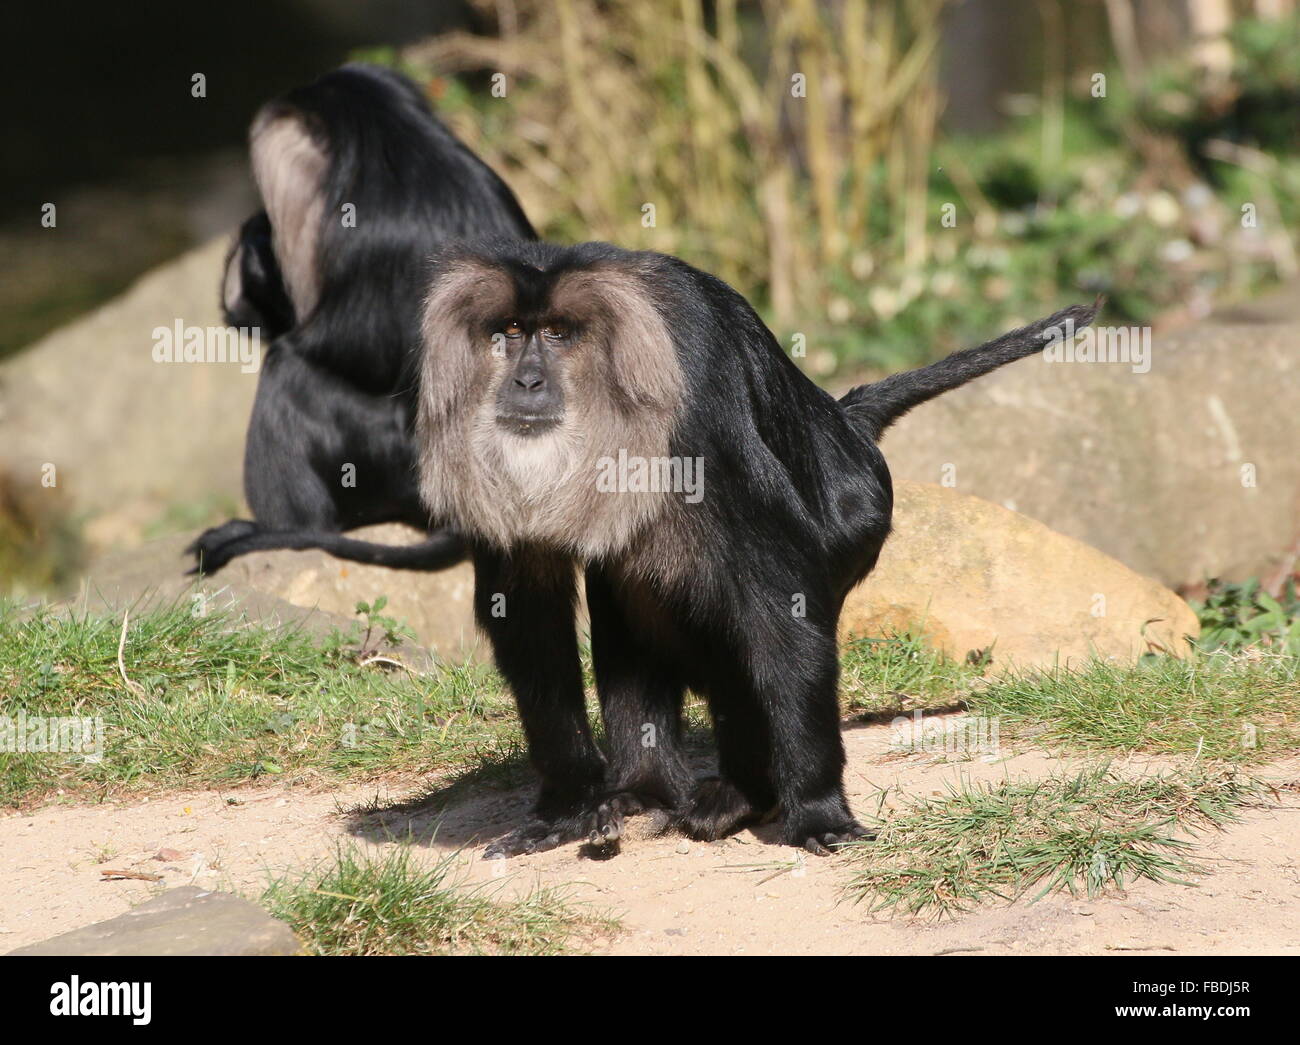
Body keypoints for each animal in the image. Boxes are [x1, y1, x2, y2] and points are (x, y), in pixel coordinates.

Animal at [415, 238, 1099, 858]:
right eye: (510, 331)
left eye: (557, 334)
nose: (526, 381)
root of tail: (841, 424)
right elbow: (528, 613)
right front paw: (566, 809)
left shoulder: (697, 405)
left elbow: (776, 606)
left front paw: (818, 811)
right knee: (632, 604)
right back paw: (644, 793)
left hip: (858, 524)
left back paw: (748, 795)